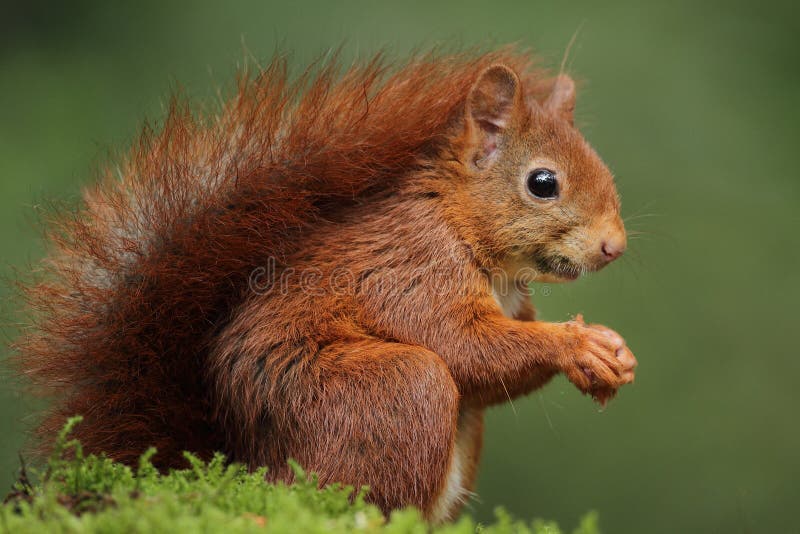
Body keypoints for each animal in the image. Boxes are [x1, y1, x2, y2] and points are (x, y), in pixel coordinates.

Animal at [12, 48, 636, 523]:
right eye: (542, 183)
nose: (615, 247)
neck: (458, 222)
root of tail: (250, 464)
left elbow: (492, 375)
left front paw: (615, 352)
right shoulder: (412, 273)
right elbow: (464, 345)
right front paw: (576, 344)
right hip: (387, 392)